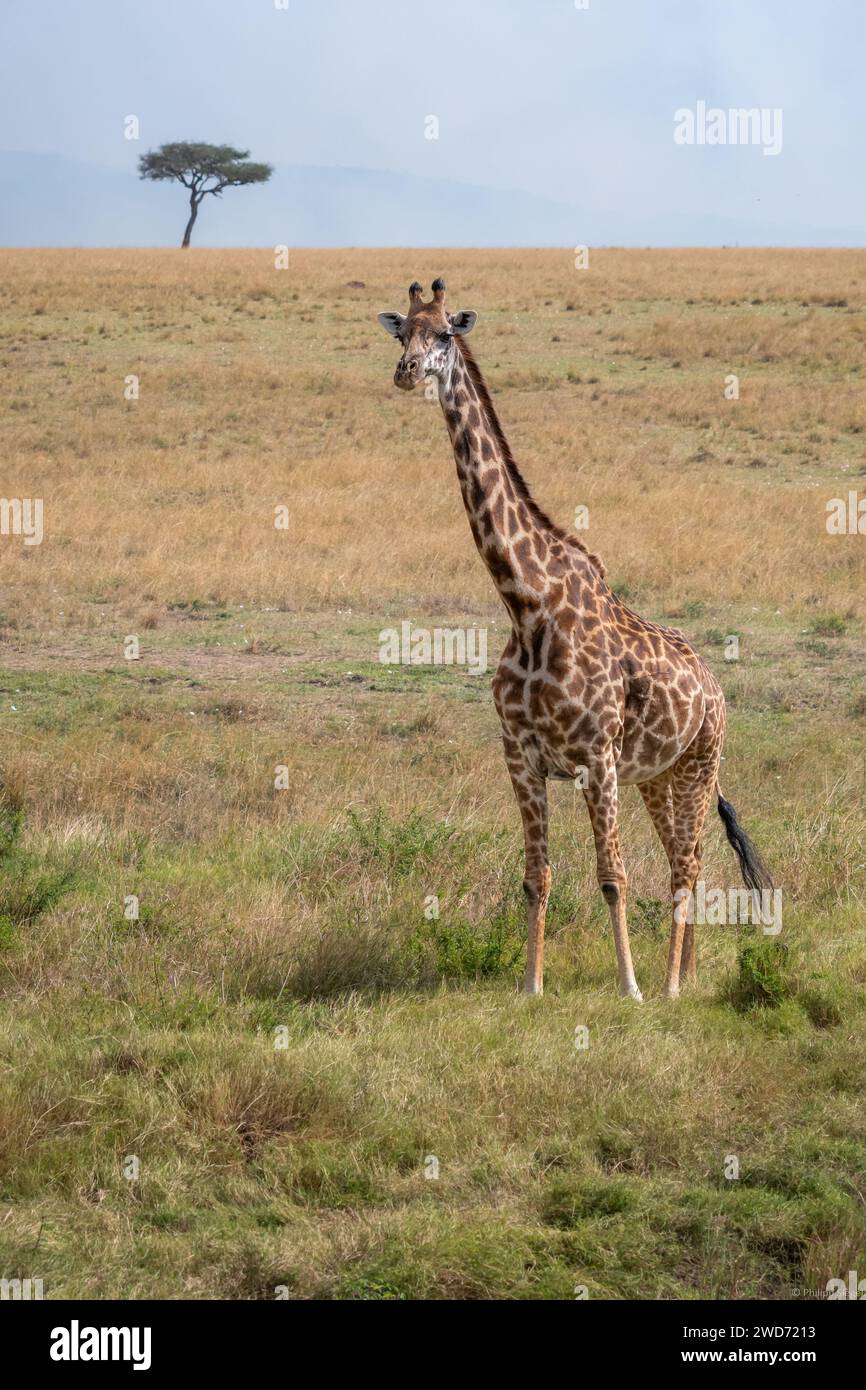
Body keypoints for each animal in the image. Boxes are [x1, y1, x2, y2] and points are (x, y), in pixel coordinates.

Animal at [377, 279, 773, 999]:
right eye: (402, 332)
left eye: (445, 333)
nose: (406, 372)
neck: (526, 604)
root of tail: (716, 687)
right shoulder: (522, 758)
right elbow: (537, 876)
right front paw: (531, 986)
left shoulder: (596, 759)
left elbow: (612, 877)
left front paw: (631, 988)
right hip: (658, 776)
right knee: (690, 859)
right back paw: (688, 973)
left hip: (700, 762)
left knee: (685, 864)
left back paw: (670, 987)